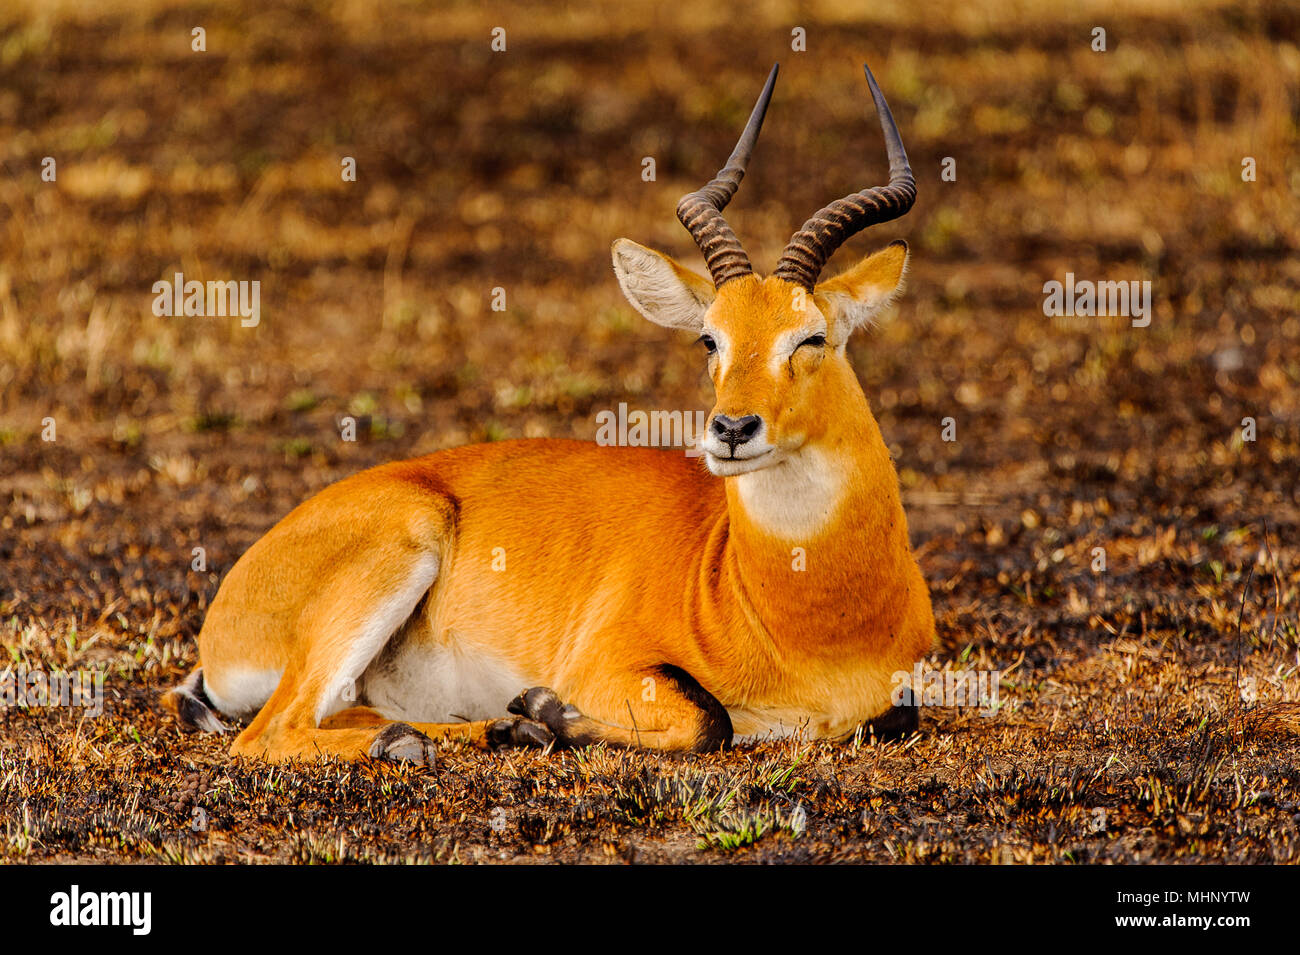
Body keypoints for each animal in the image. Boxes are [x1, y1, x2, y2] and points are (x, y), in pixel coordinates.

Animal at [161, 62, 935, 764]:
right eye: (709, 338)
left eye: (812, 338)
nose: (732, 430)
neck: (804, 620)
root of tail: (225, 615)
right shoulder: (607, 667)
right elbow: (709, 720)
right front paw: (544, 708)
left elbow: (896, 714)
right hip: (396, 551)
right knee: (269, 733)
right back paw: (456, 733)